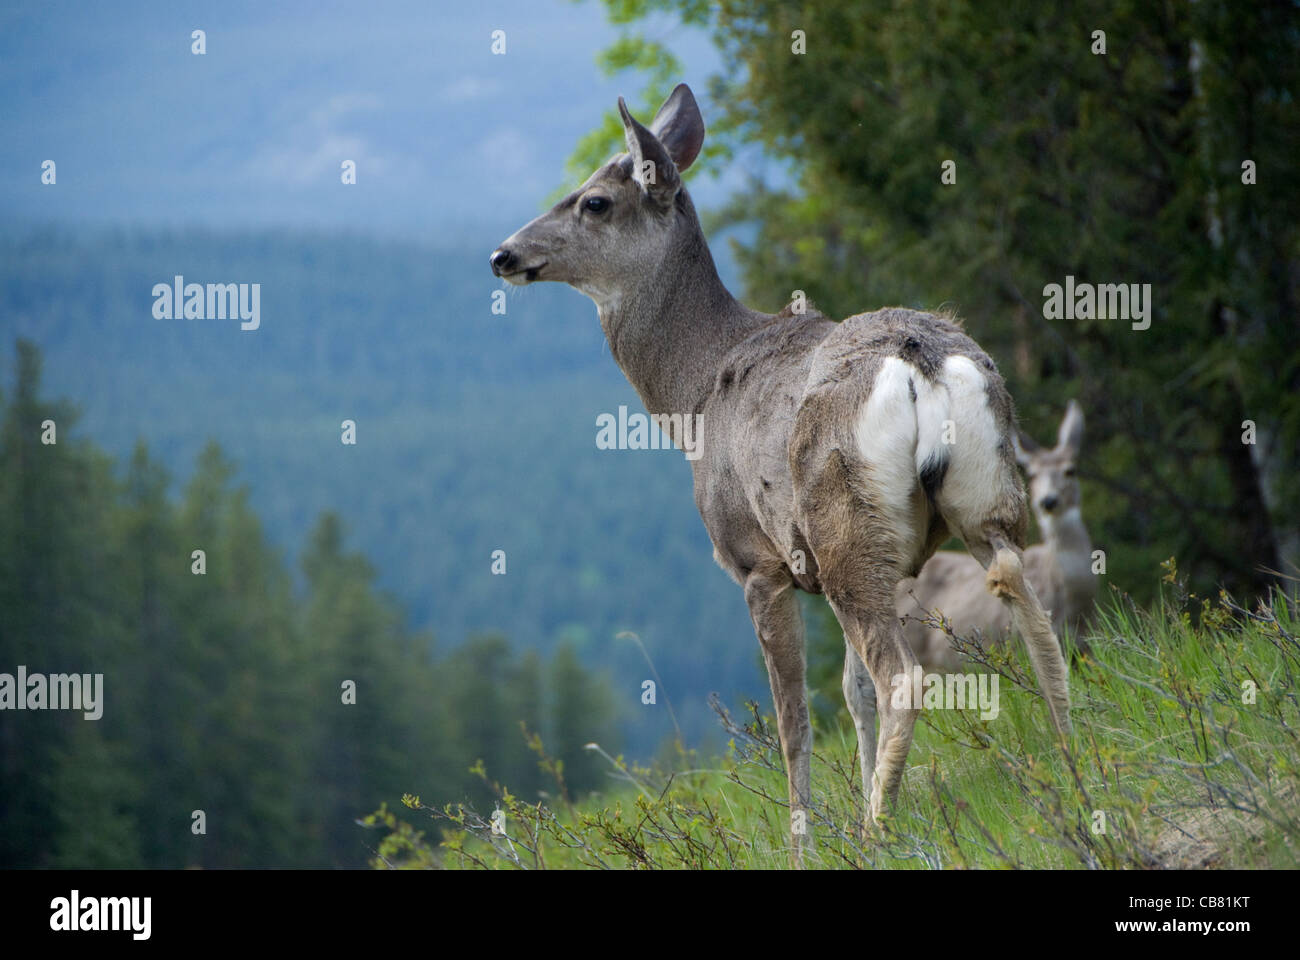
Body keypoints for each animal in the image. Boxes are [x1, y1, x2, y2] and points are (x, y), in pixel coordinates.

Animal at [489, 84, 1071, 862]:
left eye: (594, 201)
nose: (503, 254)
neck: (693, 396)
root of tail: (917, 357)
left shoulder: (758, 563)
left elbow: (794, 723)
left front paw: (809, 843)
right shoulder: (845, 566)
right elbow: (850, 694)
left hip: (845, 524)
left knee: (902, 678)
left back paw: (878, 830)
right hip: (980, 501)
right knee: (1032, 615)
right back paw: (1073, 762)